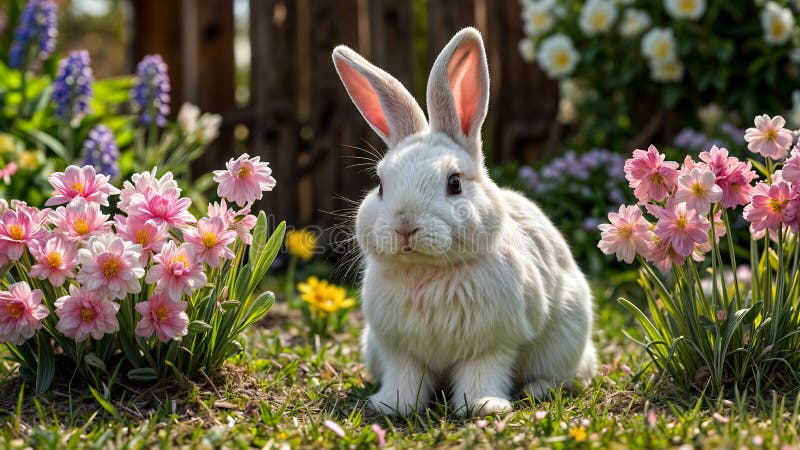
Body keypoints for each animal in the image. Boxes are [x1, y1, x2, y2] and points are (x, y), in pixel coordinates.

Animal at [331, 27, 596, 417]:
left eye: (454, 183)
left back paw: (538, 389)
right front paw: (391, 406)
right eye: (380, 185)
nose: (405, 226)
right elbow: (405, 377)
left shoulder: (492, 344)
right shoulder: (400, 351)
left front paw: (482, 406)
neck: (428, 272)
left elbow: (482, 372)